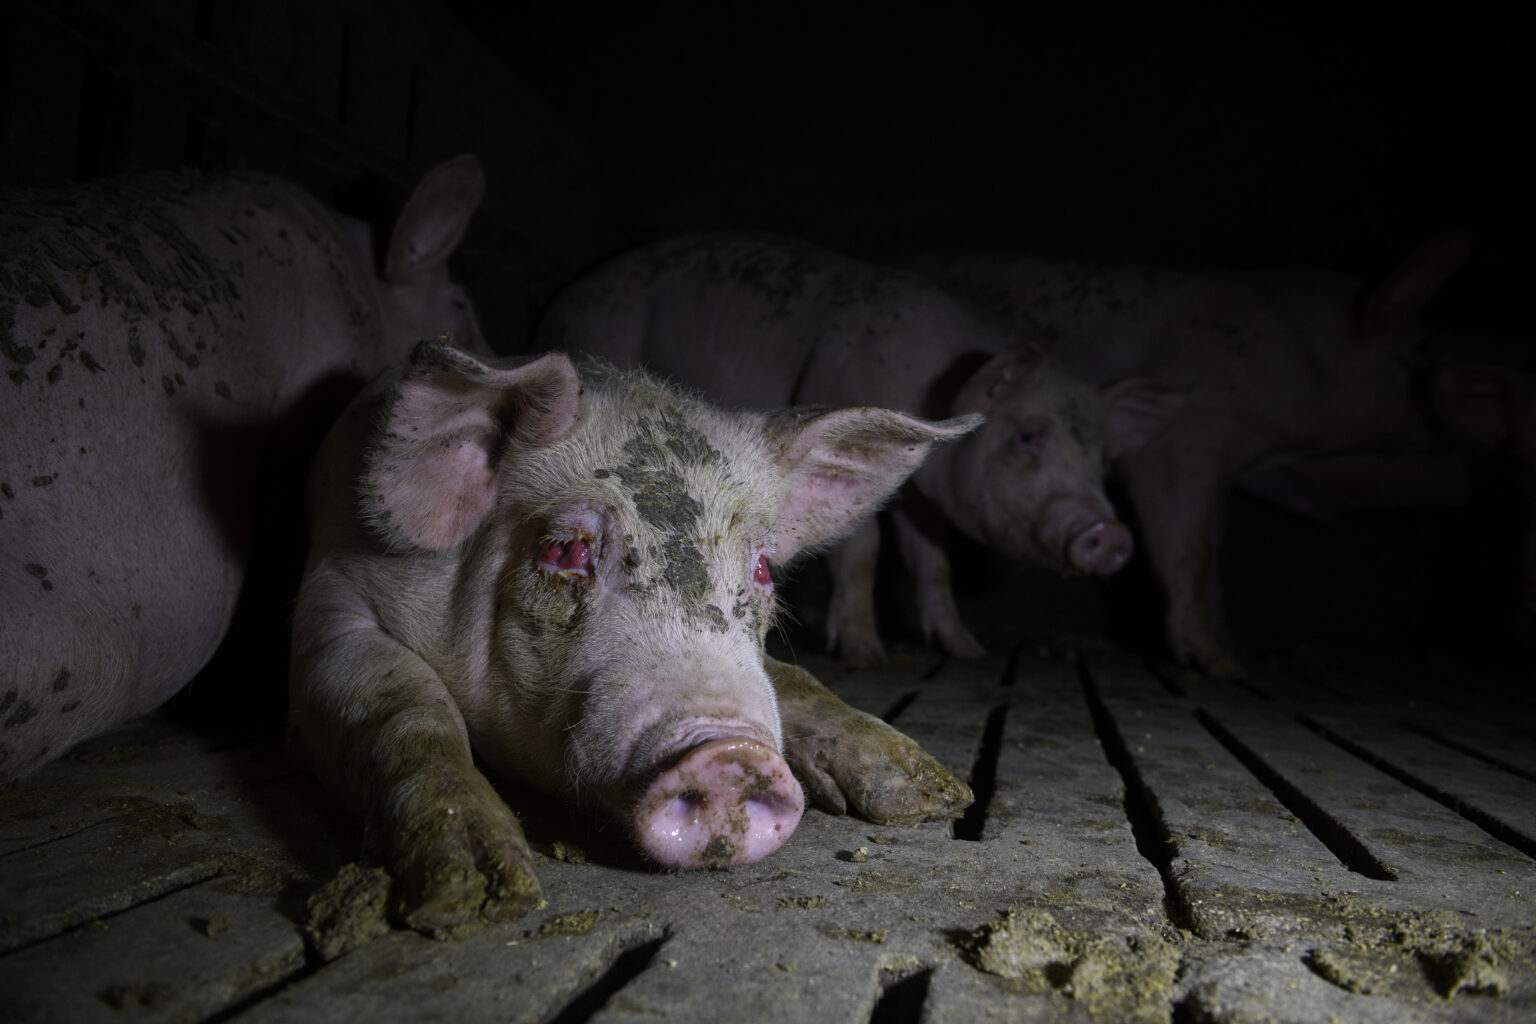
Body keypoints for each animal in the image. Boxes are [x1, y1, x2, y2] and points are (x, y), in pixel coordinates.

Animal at [288, 339, 980, 937]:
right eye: (563, 548)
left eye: (761, 567)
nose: (730, 753)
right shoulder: (334, 596)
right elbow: (405, 705)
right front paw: (477, 891)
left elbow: (795, 678)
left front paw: (934, 796)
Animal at [534, 234, 1180, 666]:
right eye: (1028, 436)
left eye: (1102, 460)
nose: (1112, 535)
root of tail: (569, 292)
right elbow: (864, 549)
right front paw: (867, 655)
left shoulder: (923, 494)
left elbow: (932, 560)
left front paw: (965, 650)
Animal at [905, 233, 1476, 675]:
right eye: (1420, 355)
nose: (1487, 383)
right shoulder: (1182, 446)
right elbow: (1188, 550)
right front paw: (1218, 665)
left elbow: (1215, 552)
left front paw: (1231, 653)